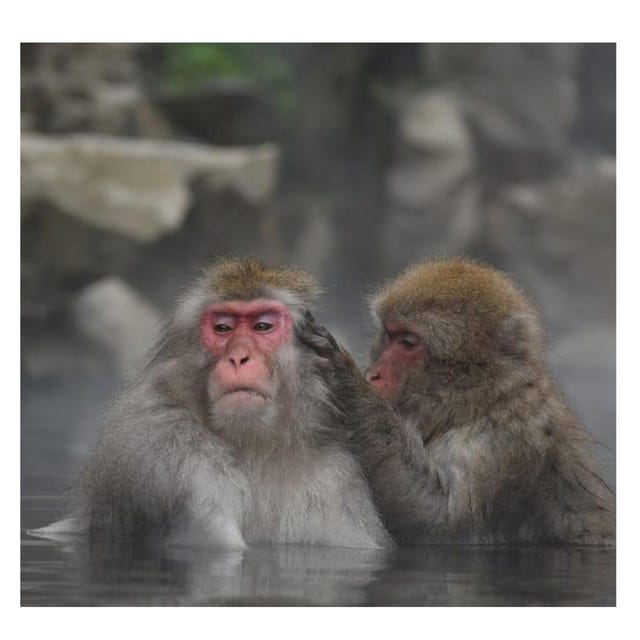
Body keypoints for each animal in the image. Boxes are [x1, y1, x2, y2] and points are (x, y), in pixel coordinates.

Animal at [34, 258, 392, 549]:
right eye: (223, 328)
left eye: (263, 326)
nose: (238, 357)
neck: (255, 447)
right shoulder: (163, 447)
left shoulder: (334, 478)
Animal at [299, 257, 615, 545]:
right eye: (389, 334)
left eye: (409, 343)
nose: (373, 374)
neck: (478, 402)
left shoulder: (503, 443)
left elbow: (445, 524)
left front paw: (347, 381)